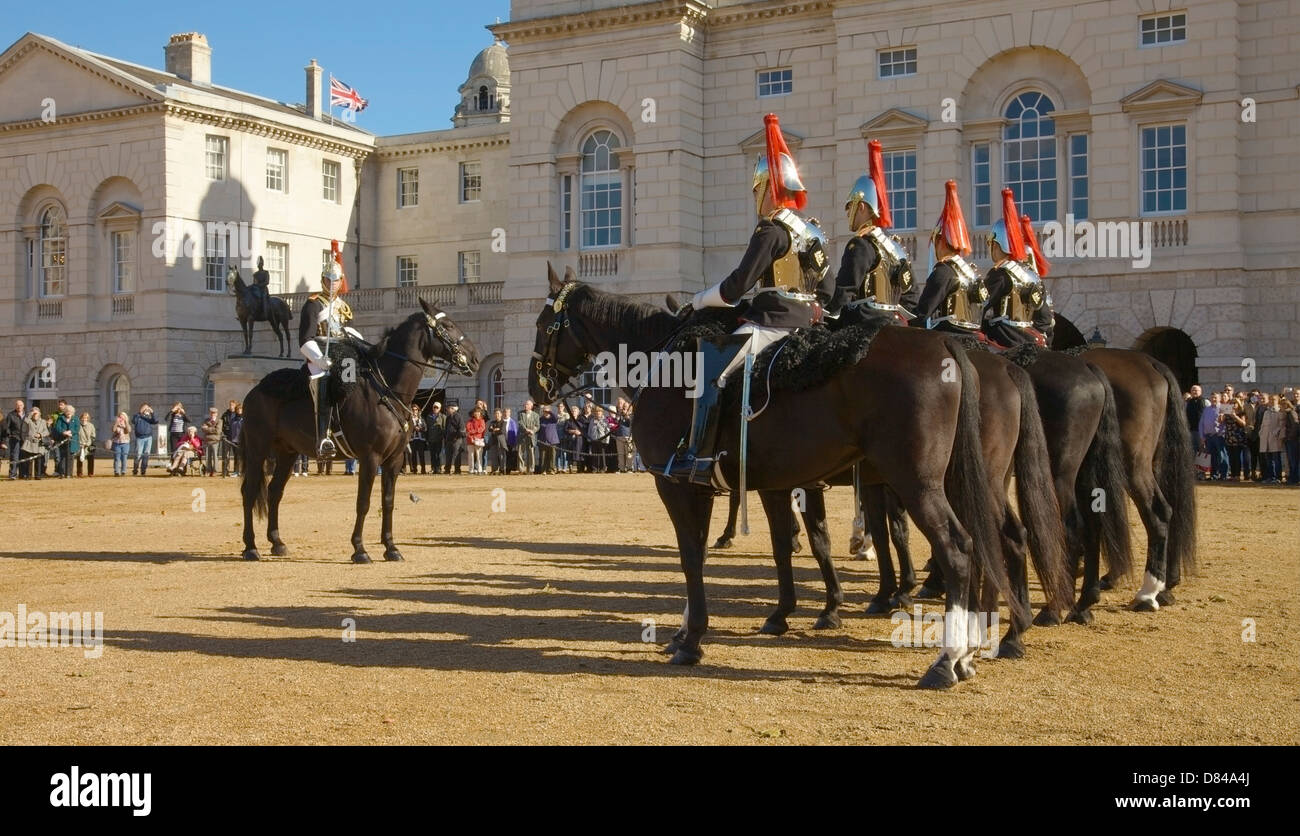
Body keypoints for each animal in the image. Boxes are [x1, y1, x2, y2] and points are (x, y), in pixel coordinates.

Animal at [239, 298, 479, 563]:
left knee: (274, 491)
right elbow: (363, 502)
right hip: (257, 448)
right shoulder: (370, 457)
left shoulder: (394, 459)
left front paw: (391, 548)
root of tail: (254, 391)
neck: (387, 390)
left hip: (287, 452)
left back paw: (277, 542)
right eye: (448, 325)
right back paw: (250, 547)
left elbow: (388, 501)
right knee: (249, 492)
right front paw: (360, 549)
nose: (475, 358)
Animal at [530, 264, 1017, 690]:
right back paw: (973, 646)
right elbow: (782, 544)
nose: (537, 388)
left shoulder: (678, 484)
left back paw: (949, 658)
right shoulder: (760, 484)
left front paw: (692, 639)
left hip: (917, 482)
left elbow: (692, 557)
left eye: (543, 323)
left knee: (959, 548)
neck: (663, 360)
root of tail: (948, 348)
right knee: (984, 542)